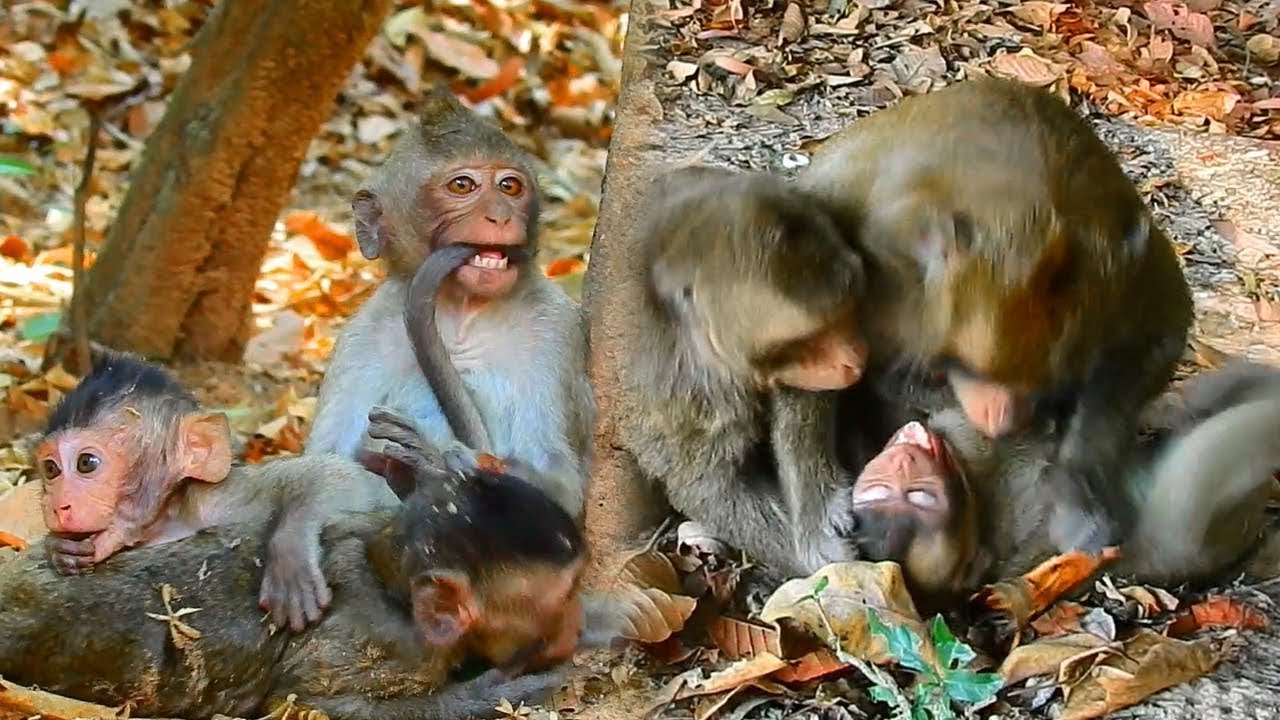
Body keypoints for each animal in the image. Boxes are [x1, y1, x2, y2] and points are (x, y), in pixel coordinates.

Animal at [0, 406, 597, 720]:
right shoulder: (394, 648)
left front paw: (430, 465)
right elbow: (311, 704)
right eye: (564, 597)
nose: (577, 622)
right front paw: (502, 693)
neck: (387, 576)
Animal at [34, 349, 400, 633]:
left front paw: (290, 551)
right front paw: (60, 548)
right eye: (51, 469)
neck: (170, 518)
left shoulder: (215, 501)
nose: (58, 506)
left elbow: (349, 480)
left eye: (87, 463)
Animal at [305, 85, 593, 521]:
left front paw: (435, 462)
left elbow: (560, 484)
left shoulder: (554, 330)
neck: (461, 310)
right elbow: (326, 463)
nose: (500, 215)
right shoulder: (362, 337)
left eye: (509, 187)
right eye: (462, 186)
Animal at [617, 164, 876, 578]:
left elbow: (804, 397)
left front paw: (815, 509)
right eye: (805, 340)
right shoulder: (680, 392)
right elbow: (706, 484)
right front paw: (812, 554)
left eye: (846, 312)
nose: (856, 357)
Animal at [794, 77, 1195, 554]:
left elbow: (1158, 338)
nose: (1001, 422)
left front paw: (1078, 491)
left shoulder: (1126, 278)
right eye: (967, 366)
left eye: (1041, 380)